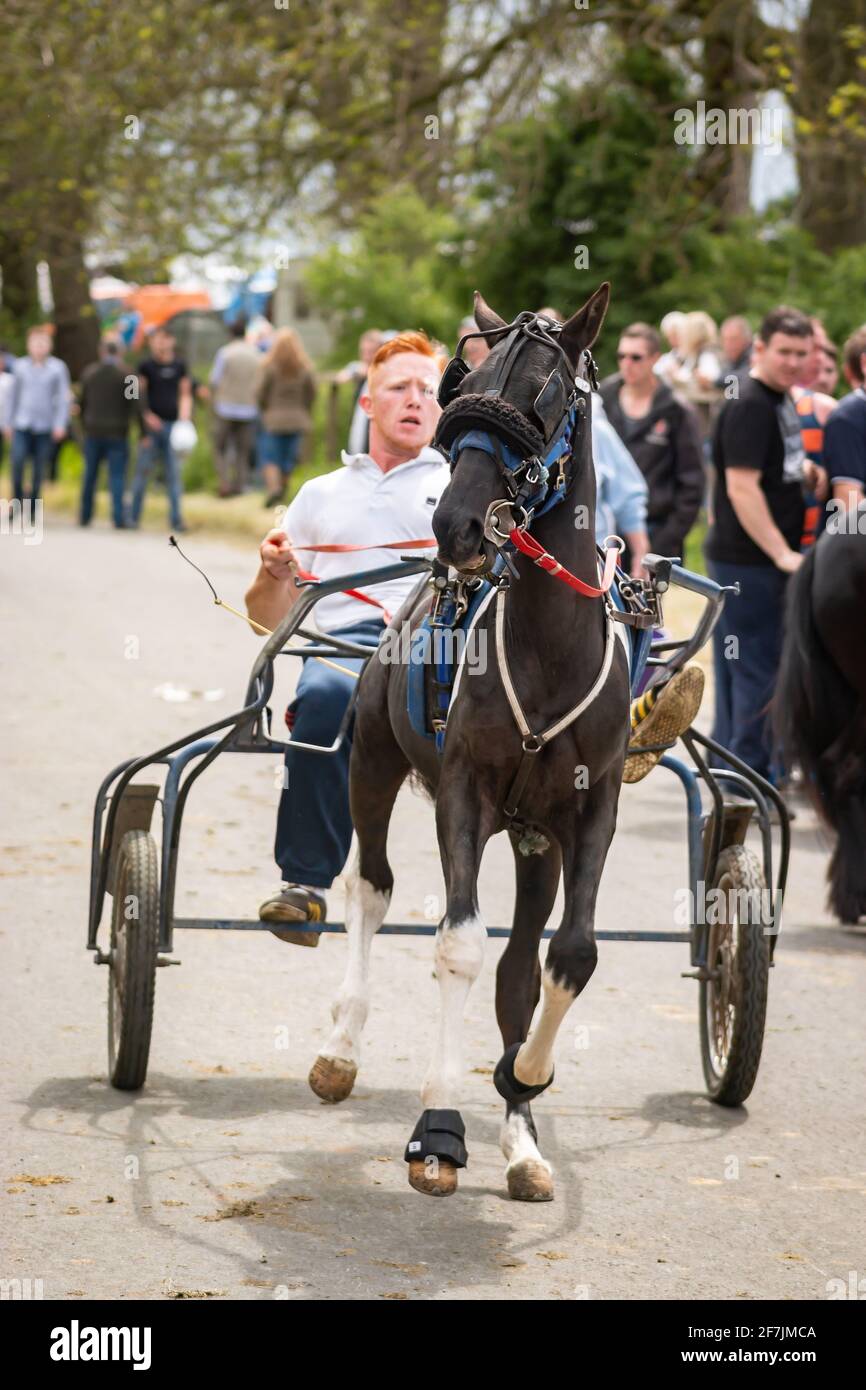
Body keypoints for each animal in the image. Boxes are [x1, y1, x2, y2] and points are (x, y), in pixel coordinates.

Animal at [308, 284, 633, 1201]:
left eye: (545, 397)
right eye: (468, 387)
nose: (453, 524)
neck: (549, 649)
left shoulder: (588, 814)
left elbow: (566, 957)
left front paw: (522, 1083)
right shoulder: (464, 792)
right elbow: (458, 943)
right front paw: (440, 1128)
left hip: (533, 841)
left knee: (523, 962)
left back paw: (520, 1137)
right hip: (373, 766)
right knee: (371, 886)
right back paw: (341, 1046)